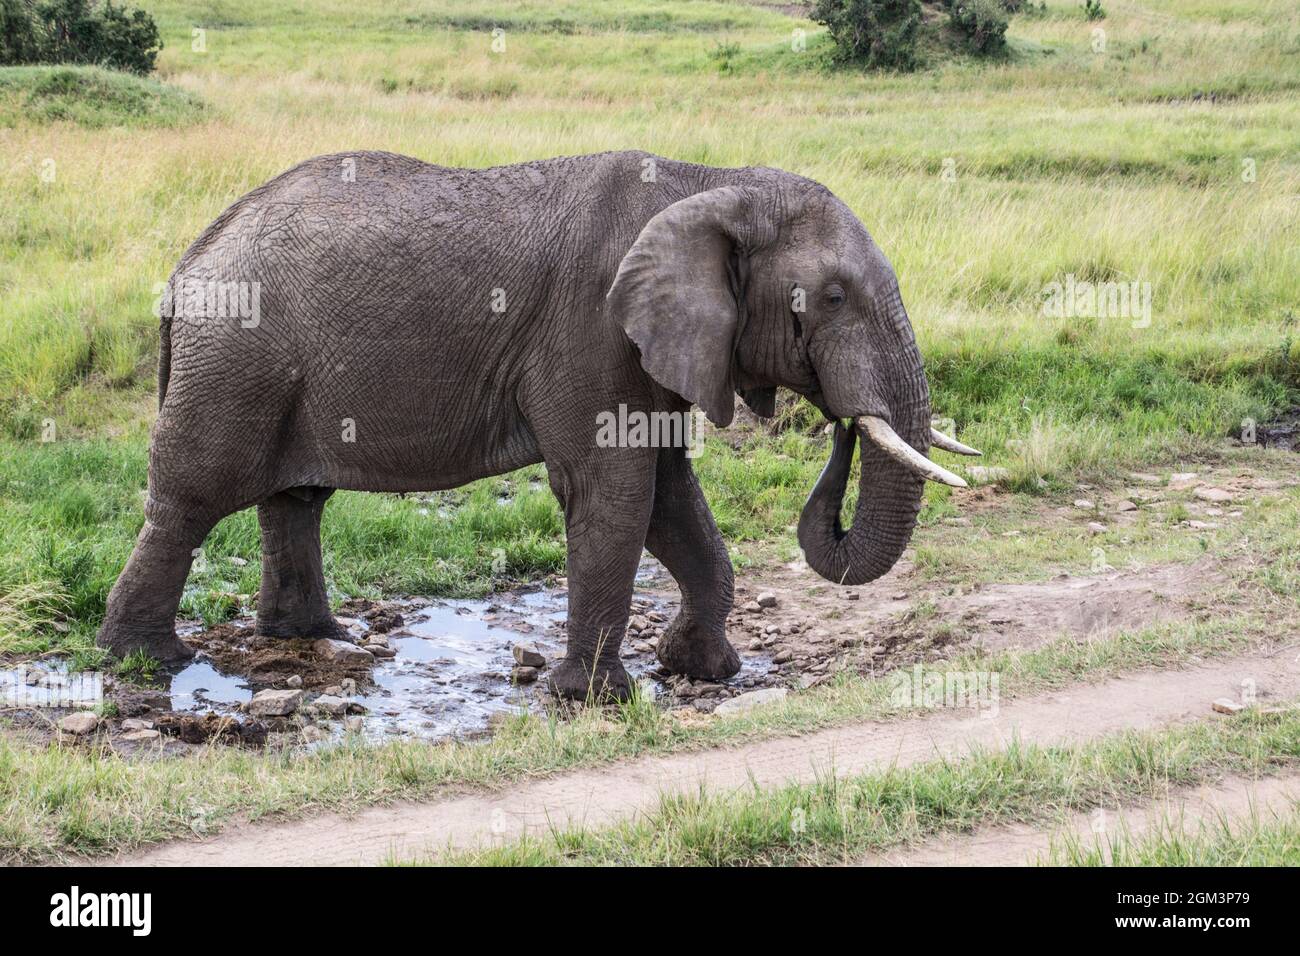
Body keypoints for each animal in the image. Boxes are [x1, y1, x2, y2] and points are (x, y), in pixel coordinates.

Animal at [96, 150, 978, 700]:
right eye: (830, 298)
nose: (841, 419)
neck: (710, 182)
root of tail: (186, 263)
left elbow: (670, 498)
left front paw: (705, 672)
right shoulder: (592, 330)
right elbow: (616, 492)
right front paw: (594, 698)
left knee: (296, 499)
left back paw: (319, 636)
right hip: (237, 355)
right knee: (192, 497)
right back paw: (149, 659)